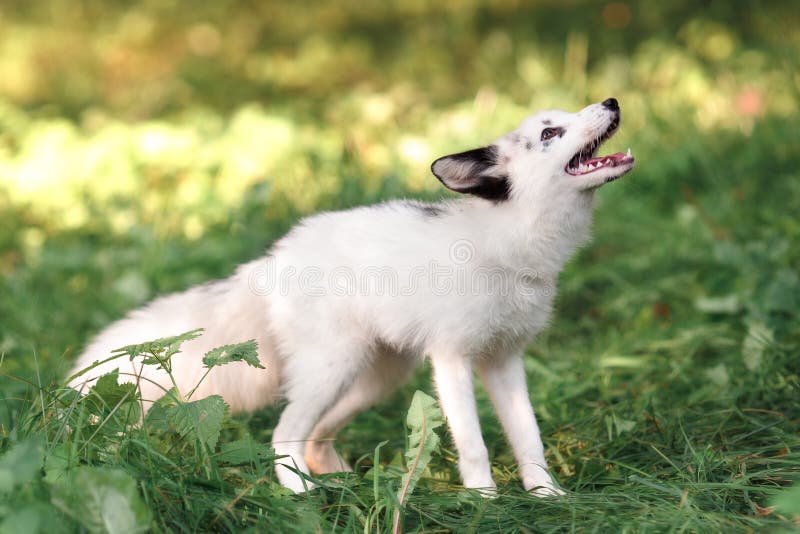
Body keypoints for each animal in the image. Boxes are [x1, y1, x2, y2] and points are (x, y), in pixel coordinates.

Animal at [70, 98, 635, 496]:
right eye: (550, 133)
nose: (611, 101)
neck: (506, 244)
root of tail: (271, 260)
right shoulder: (453, 359)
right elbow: (473, 445)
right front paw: (485, 505)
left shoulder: (504, 360)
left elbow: (529, 439)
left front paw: (547, 498)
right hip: (334, 368)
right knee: (284, 435)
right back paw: (303, 496)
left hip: (376, 377)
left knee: (315, 436)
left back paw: (345, 484)